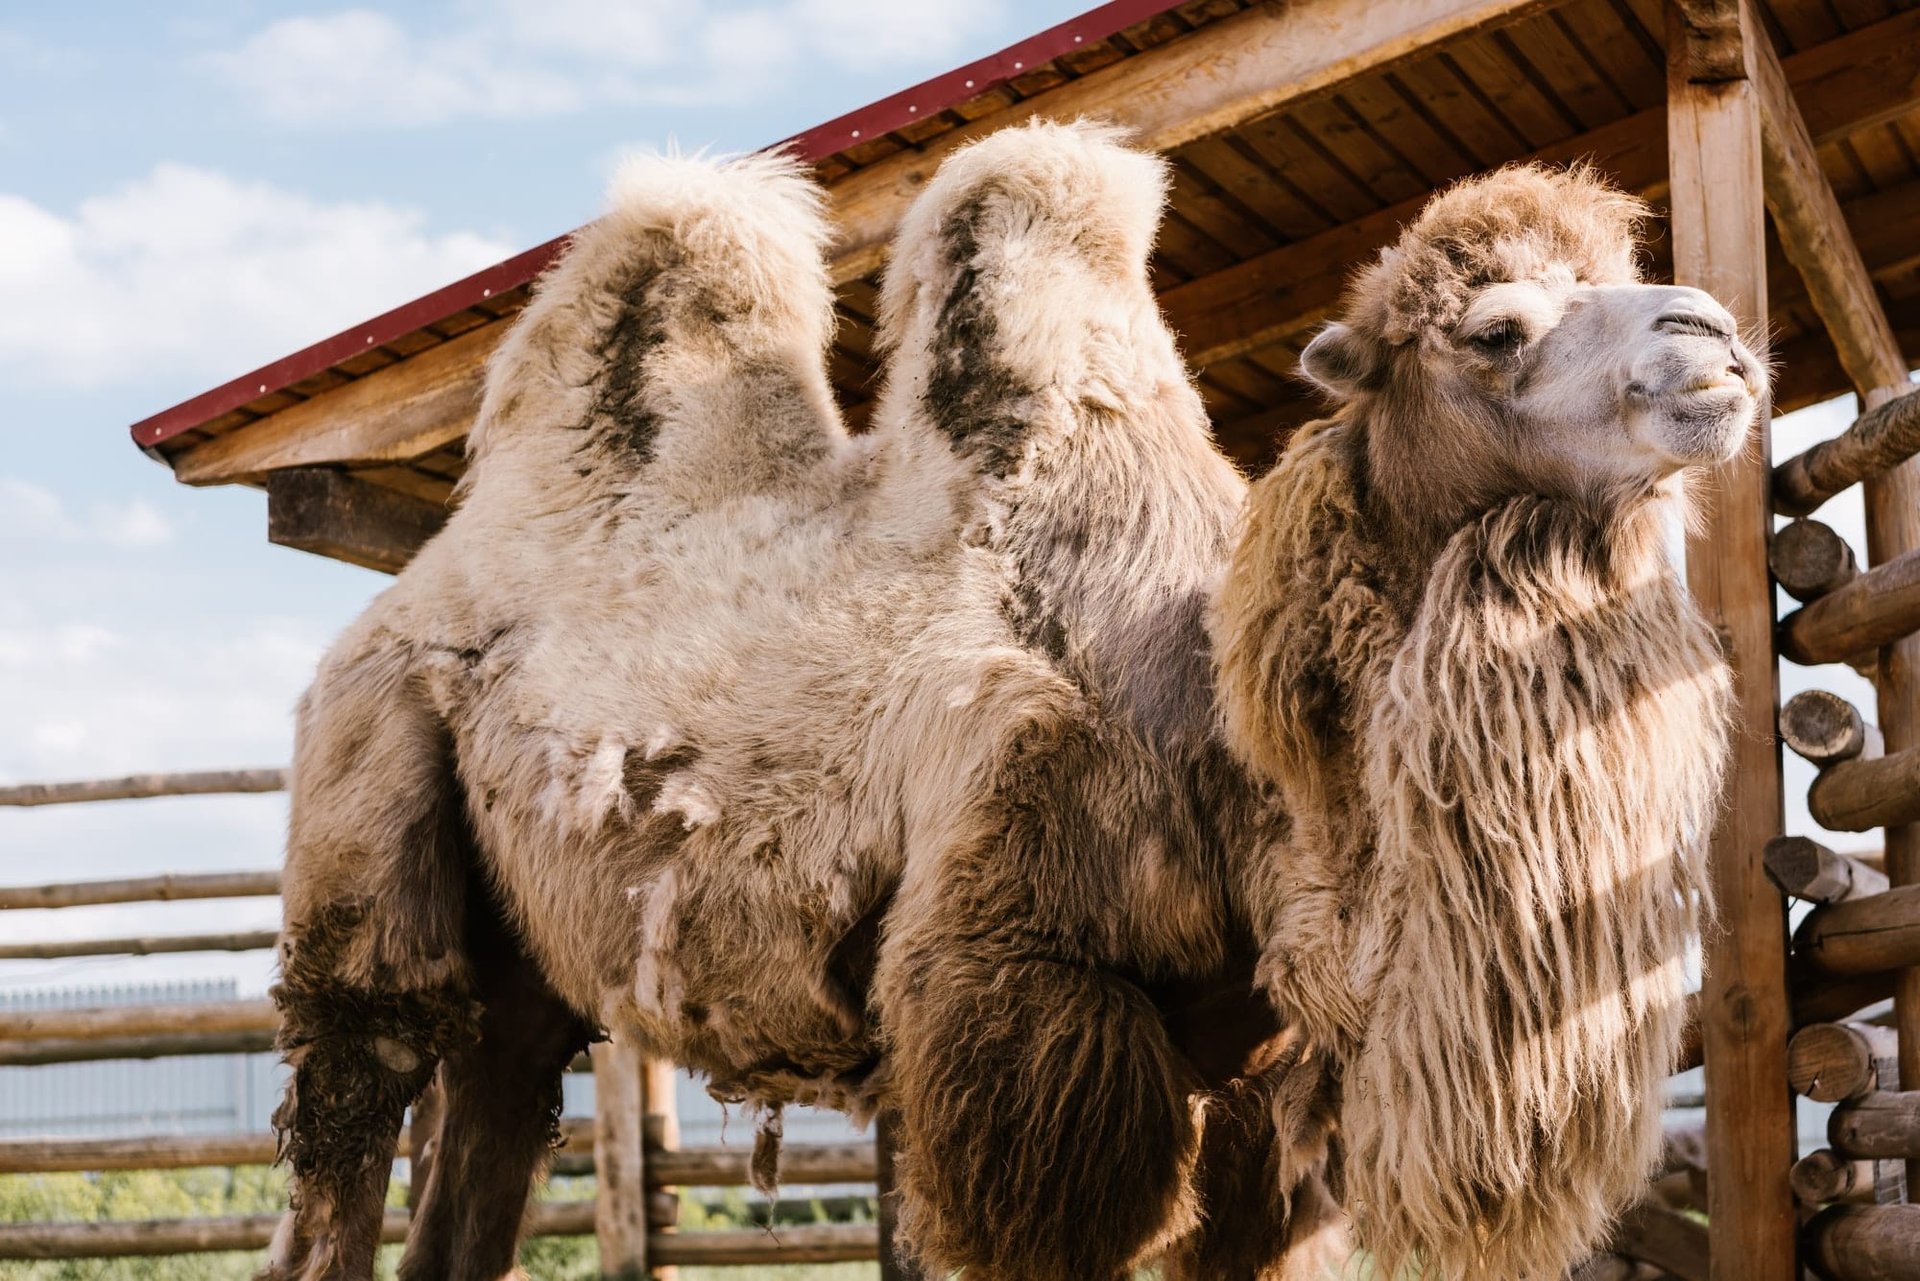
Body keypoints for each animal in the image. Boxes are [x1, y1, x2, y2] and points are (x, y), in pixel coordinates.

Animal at [261, 119, 1755, 1281]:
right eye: (1495, 330)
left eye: (1624, 280)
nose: (1719, 342)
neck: (1248, 778)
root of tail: (411, 589)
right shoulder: (1022, 1010)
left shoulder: (1263, 1105)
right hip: (369, 768)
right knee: (359, 1074)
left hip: (524, 961)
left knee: (492, 1111)